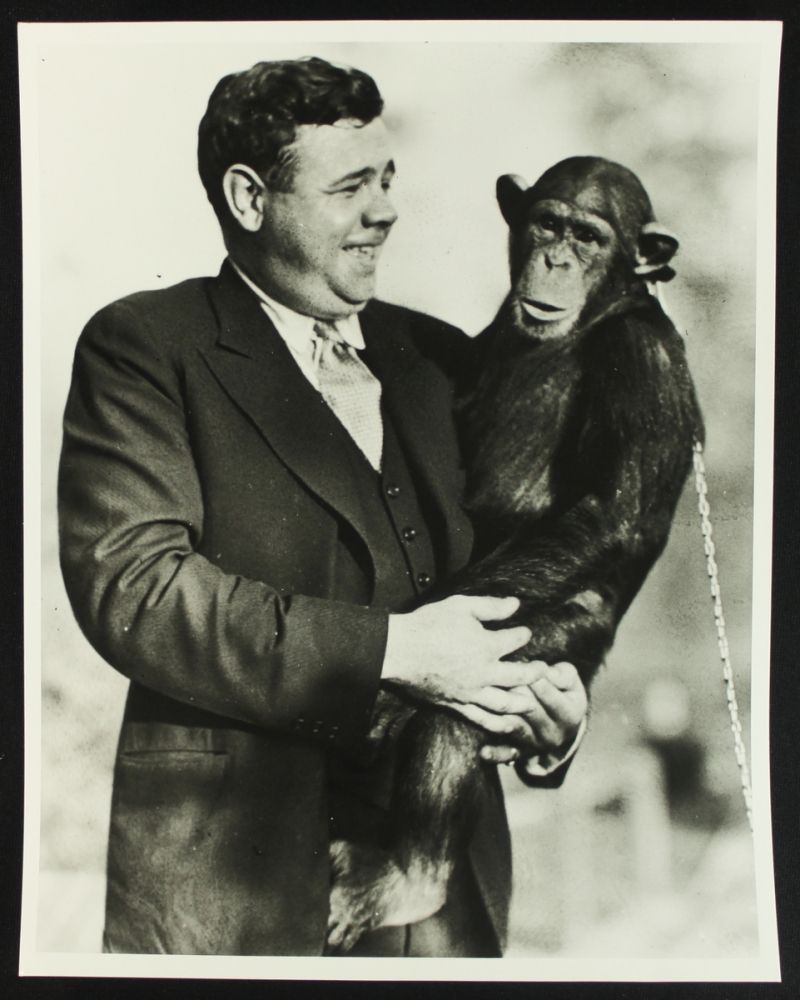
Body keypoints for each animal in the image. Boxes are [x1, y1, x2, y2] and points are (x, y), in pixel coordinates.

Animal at [326, 157, 705, 953]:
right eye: (546, 225)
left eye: (589, 237)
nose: (556, 259)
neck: (600, 315)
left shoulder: (645, 359)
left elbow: (609, 513)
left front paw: (380, 699)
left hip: (556, 638)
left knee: (457, 704)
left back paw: (409, 875)